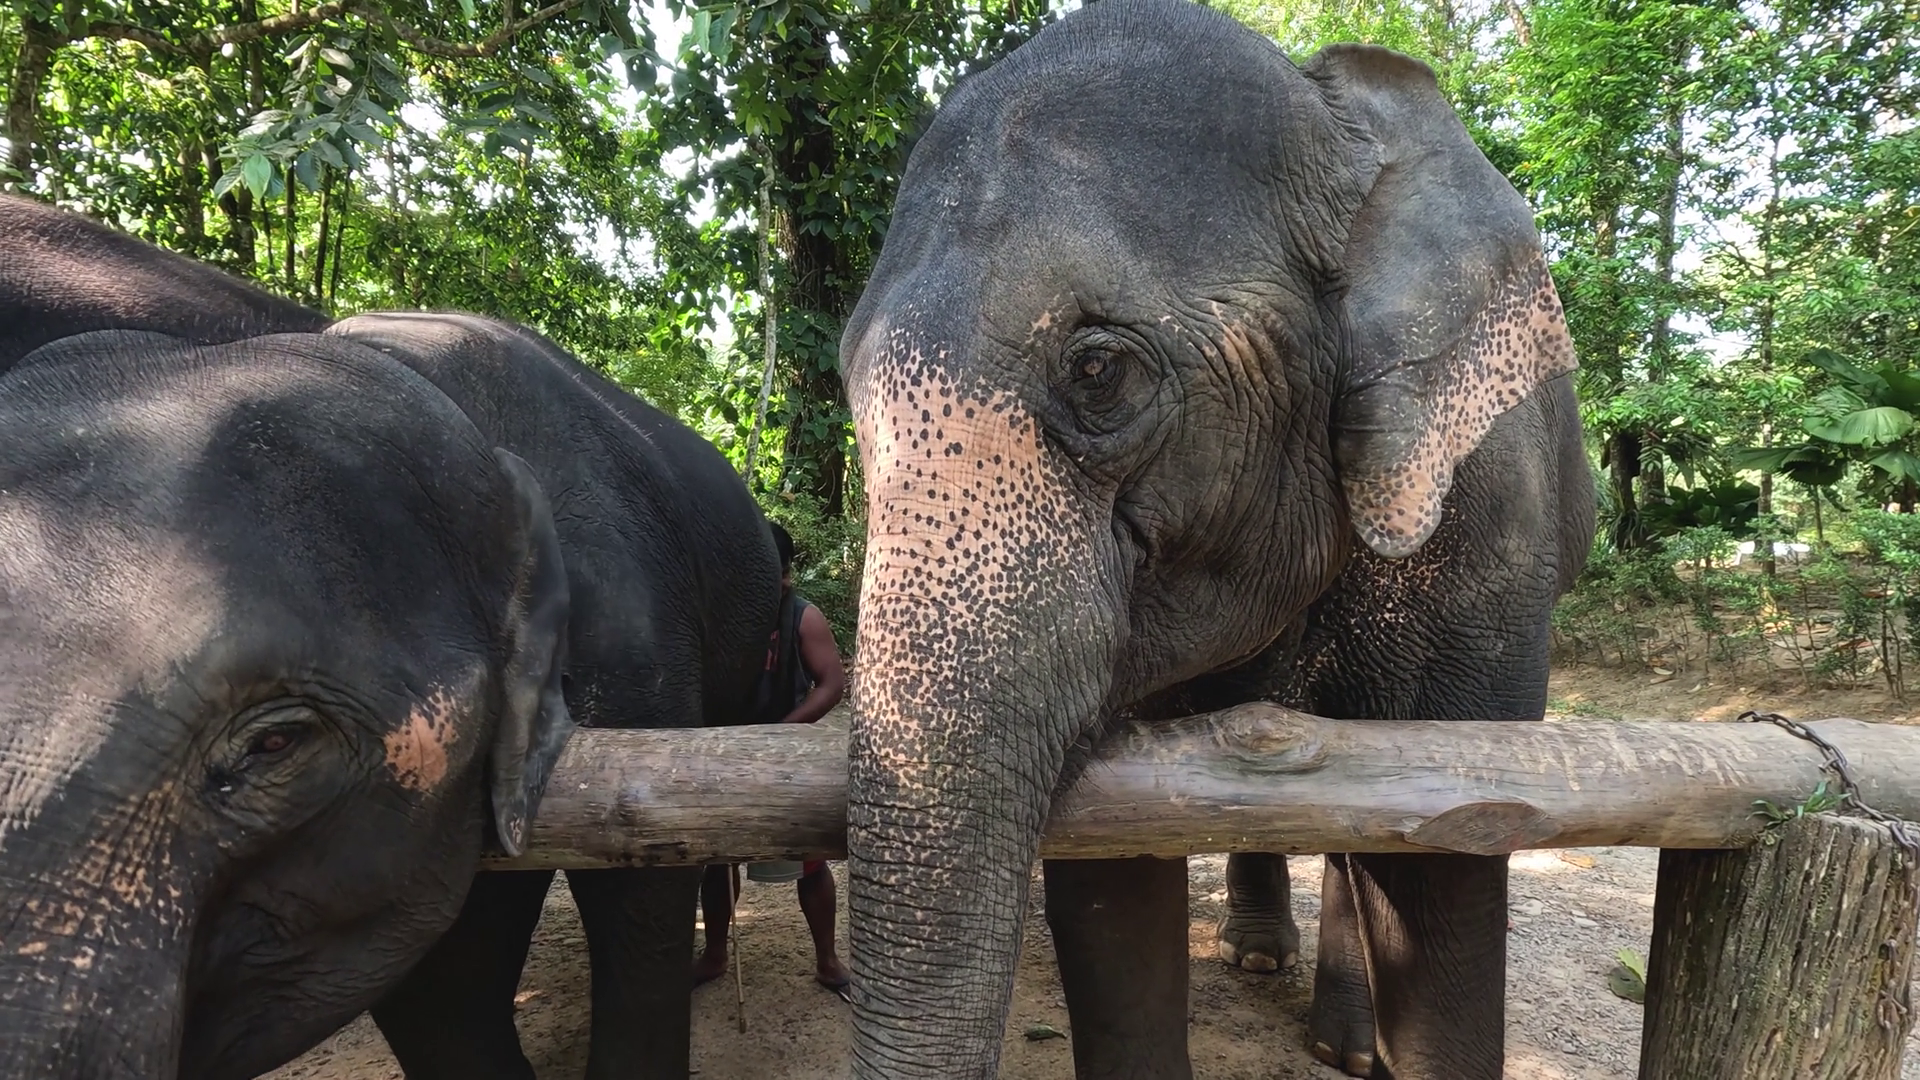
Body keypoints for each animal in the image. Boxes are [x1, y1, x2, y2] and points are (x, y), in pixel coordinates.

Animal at [834, 2, 1596, 1079]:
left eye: (1099, 370)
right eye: (847, 383)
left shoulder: (1487, 525)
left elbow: (1446, 864)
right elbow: (1116, 884)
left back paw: (1337, 1041)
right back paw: (1265, 964)